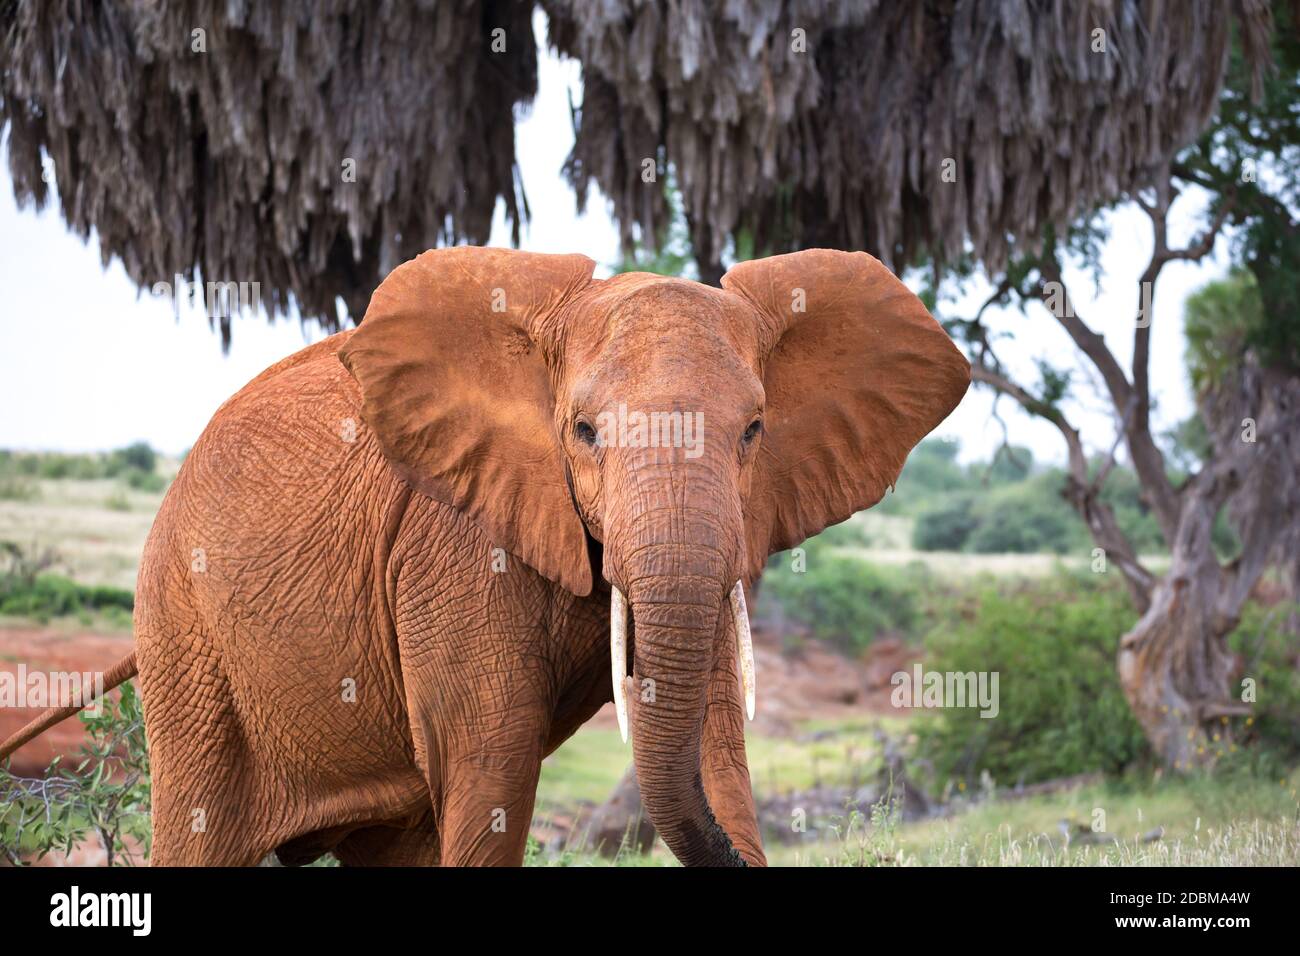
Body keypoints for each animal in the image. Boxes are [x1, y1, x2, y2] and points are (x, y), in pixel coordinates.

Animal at [0, 246, 968, 866]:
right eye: (582, 431)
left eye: (754, 432)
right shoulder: (455, 546)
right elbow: (493, 762)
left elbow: (720, 747)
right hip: (185, 631)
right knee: (202, 829)